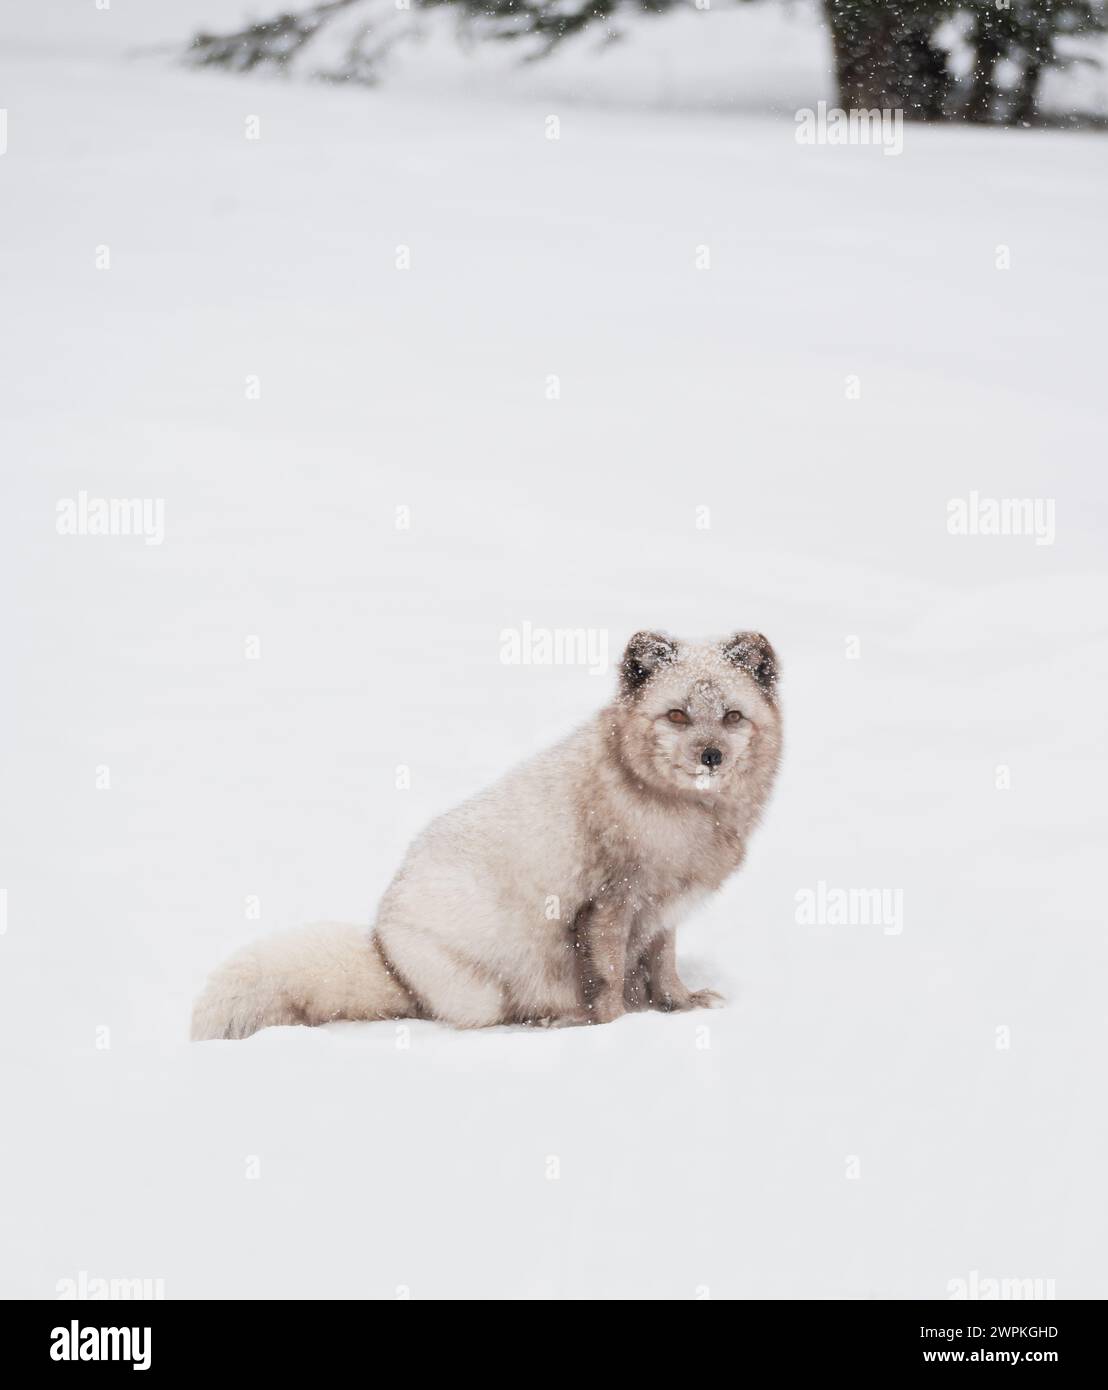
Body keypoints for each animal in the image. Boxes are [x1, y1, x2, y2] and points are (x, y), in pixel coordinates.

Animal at [191, 629, 782, 1040]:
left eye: (732, 716)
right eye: (677, 715)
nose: (711, 756)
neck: (683, 813)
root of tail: (388, 955)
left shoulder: (663, 910)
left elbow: (663, 969)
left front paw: (682, 1006)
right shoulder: (609, 903)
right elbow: (610, 980)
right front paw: (614, 1029)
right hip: (490, 985)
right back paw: (553, 1022)